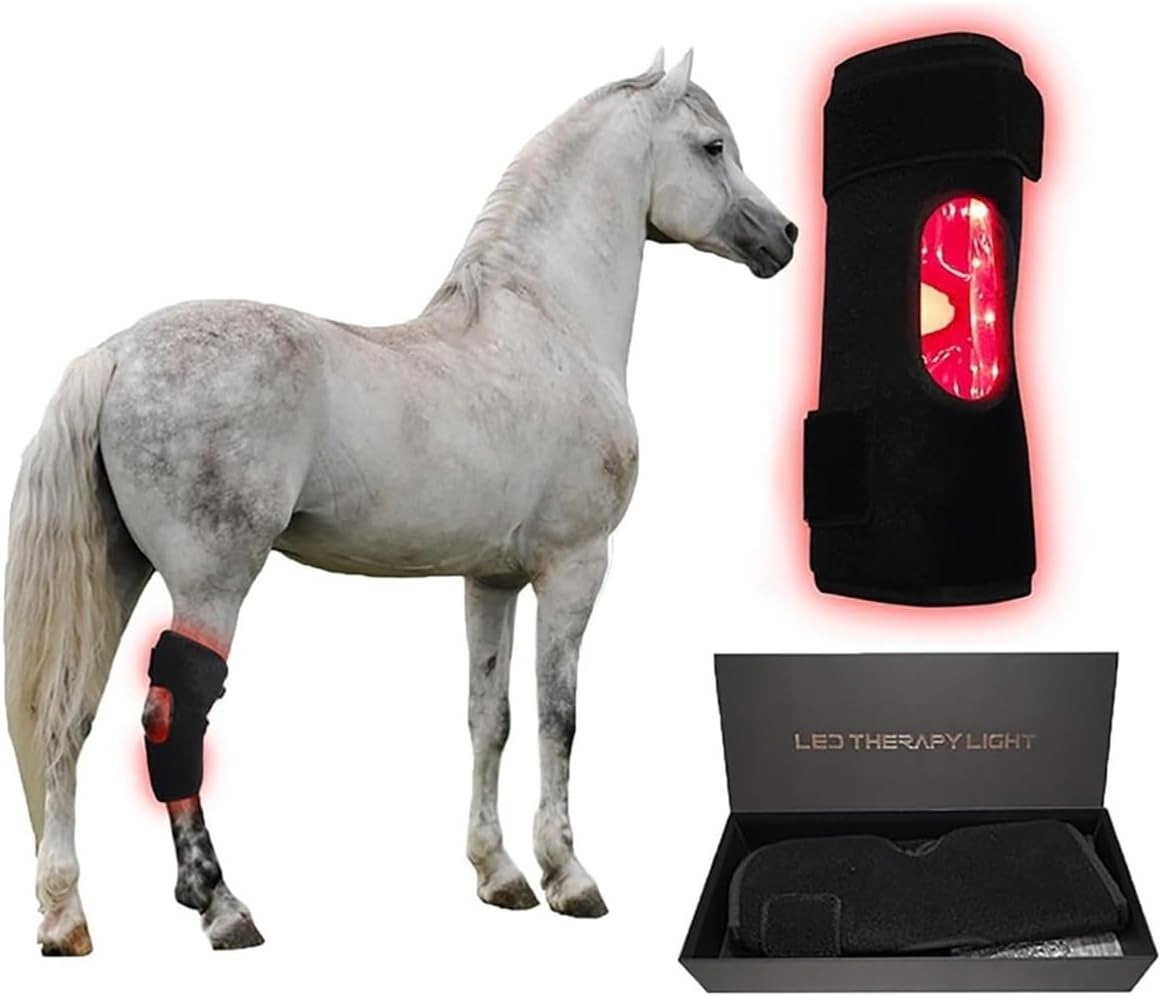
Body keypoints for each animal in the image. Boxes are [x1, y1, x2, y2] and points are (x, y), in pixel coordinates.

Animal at [4, 48, 796, 954]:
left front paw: (499, 875)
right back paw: (220, 903)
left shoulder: (490, 580)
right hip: (211, 582)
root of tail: (117, 355)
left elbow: (489, 716)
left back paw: (65, 915)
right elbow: (557, 716)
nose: (782, 237)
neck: (545, 325)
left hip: (116, 572)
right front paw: (568, 876)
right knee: (173, 718)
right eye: (711, 147)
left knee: (67, 715)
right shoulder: (575, 566)